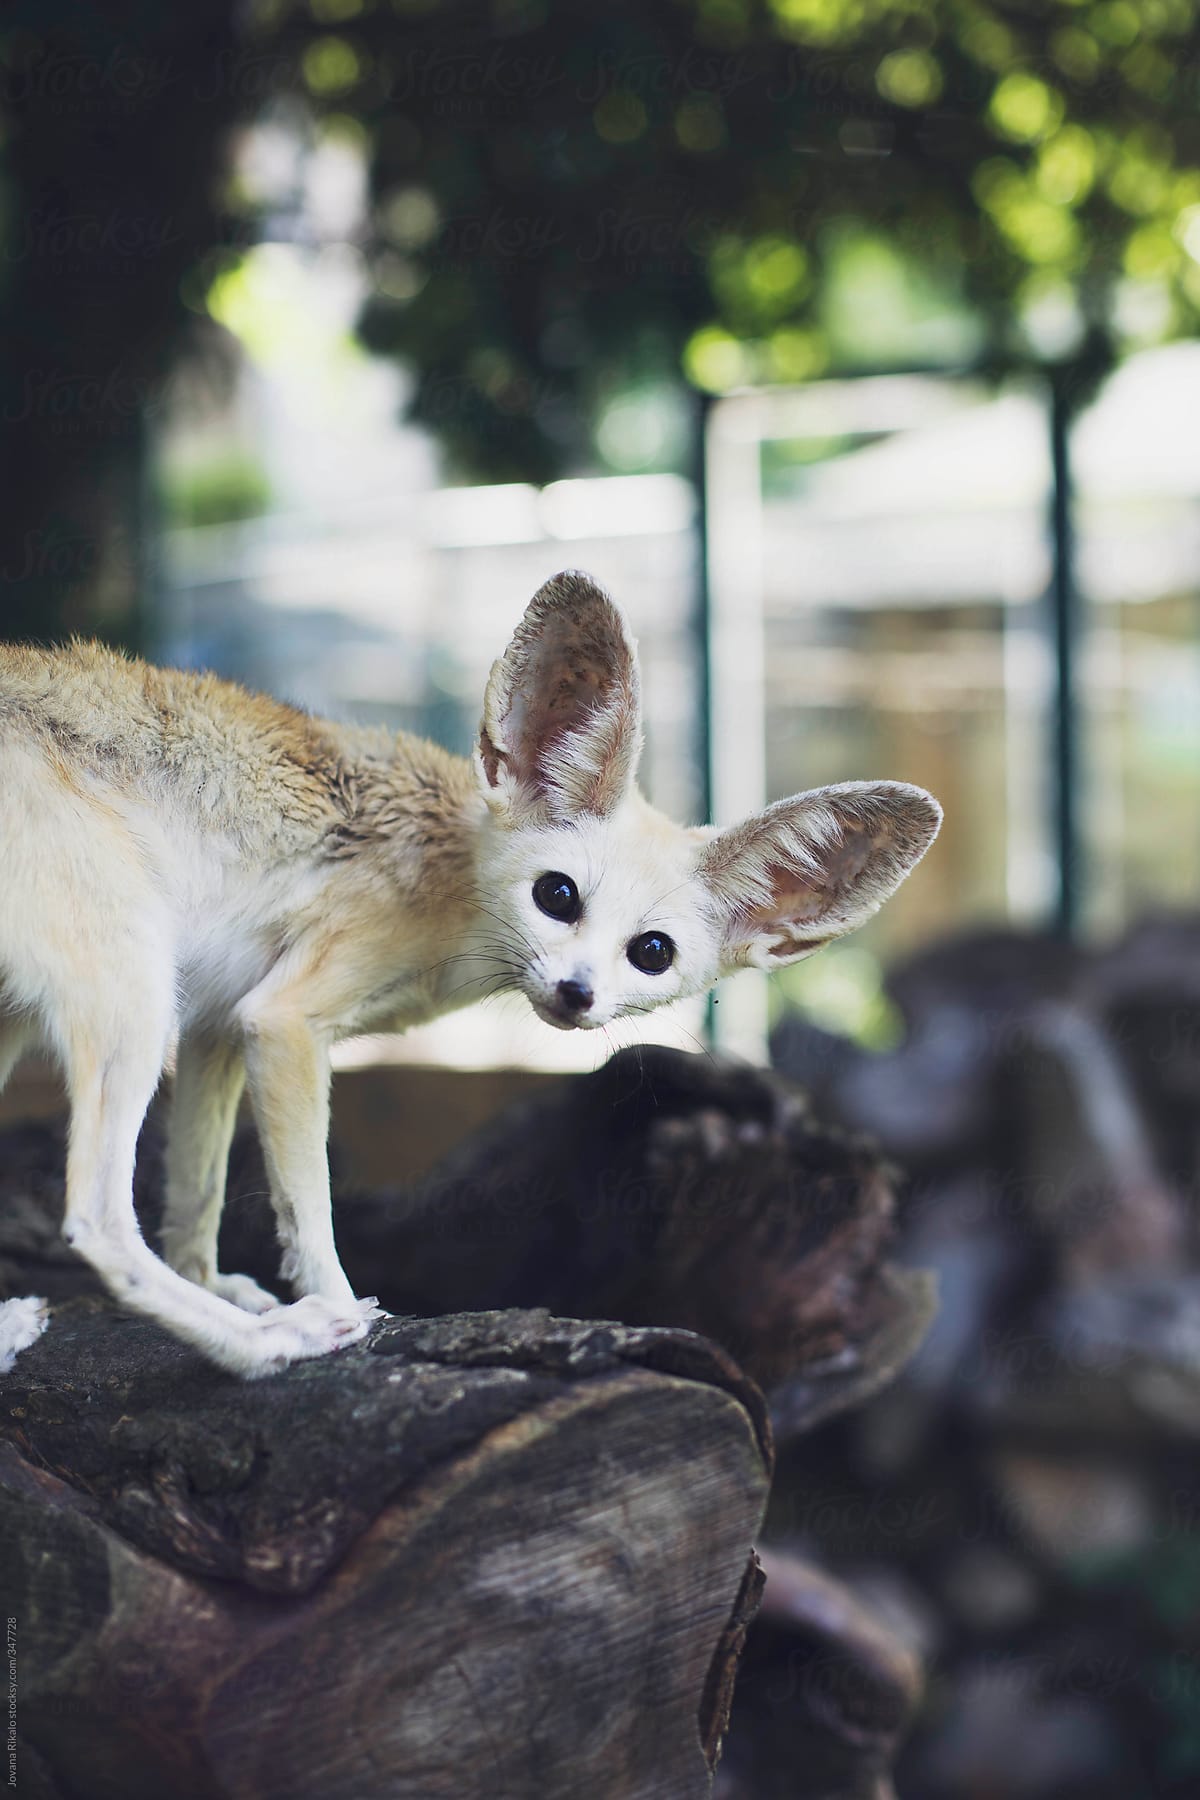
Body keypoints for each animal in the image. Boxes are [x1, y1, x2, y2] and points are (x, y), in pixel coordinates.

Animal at [0, 570, 940, 1378]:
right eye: (557, 895)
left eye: (652, 953)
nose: (576, 995)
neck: (447, 869)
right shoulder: (283, 1018)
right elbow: (308, 1218)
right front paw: (330, 1308)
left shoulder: (218, 1025)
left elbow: (195, 1201)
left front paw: (218, 1282)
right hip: (131, 986)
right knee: (96, 1224)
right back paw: (268, 1348)